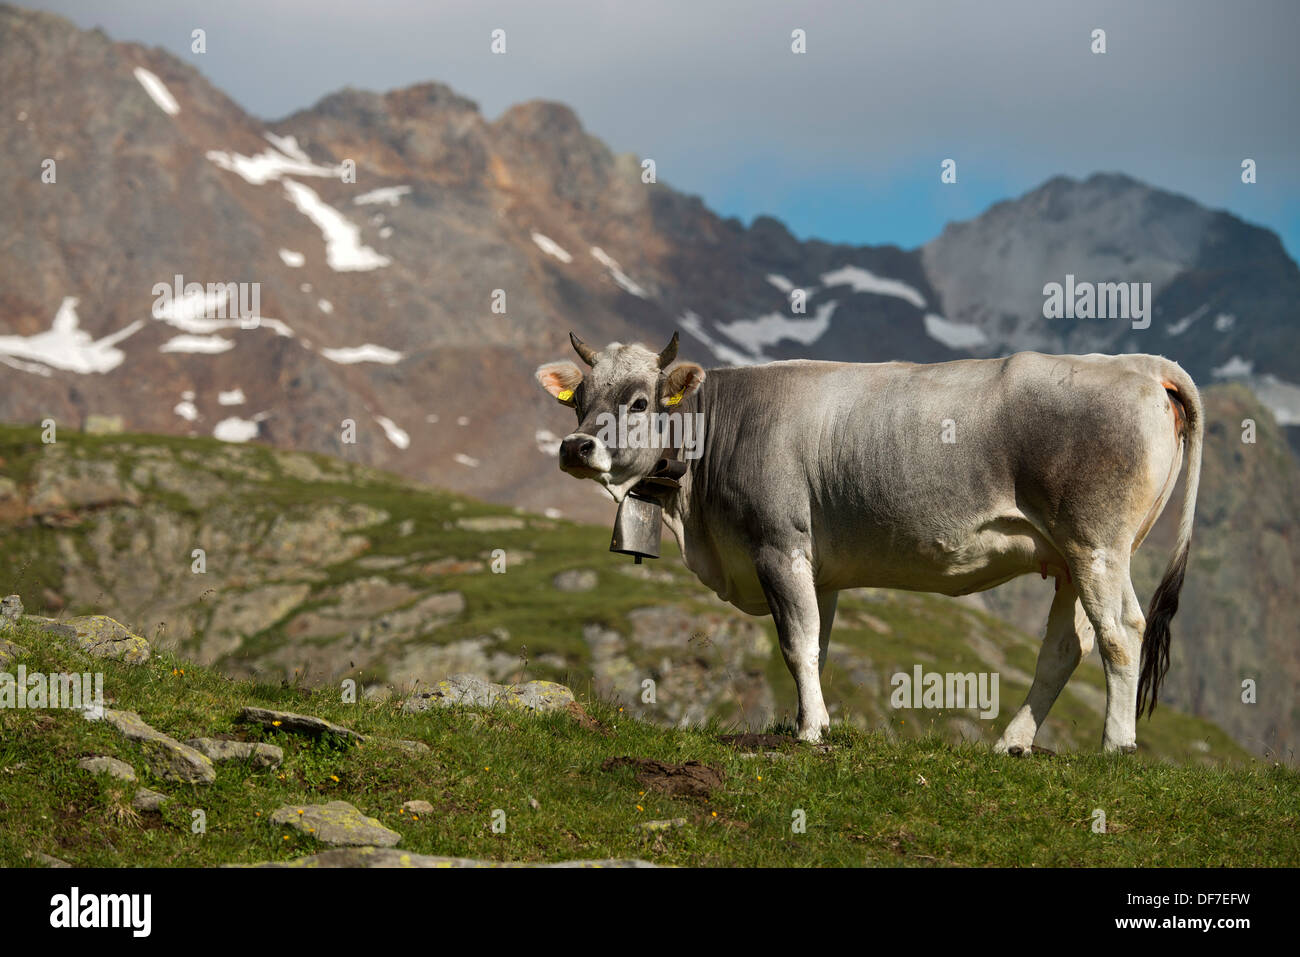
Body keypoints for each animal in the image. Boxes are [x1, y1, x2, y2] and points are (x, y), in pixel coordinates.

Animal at [535, 332, 1202, 752]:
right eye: (580, 403)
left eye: (638, 402)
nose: (575, 448)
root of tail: (1141, 364)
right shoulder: (819, 570)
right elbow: (817, 647)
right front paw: (811, 720)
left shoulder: (778, 546)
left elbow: (795, 644)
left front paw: (809, 733)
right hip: (1067, 559)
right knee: (1065, 649)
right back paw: (1012, 743)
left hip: (1097, 545)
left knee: (1122, 634)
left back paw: (1116, 745)